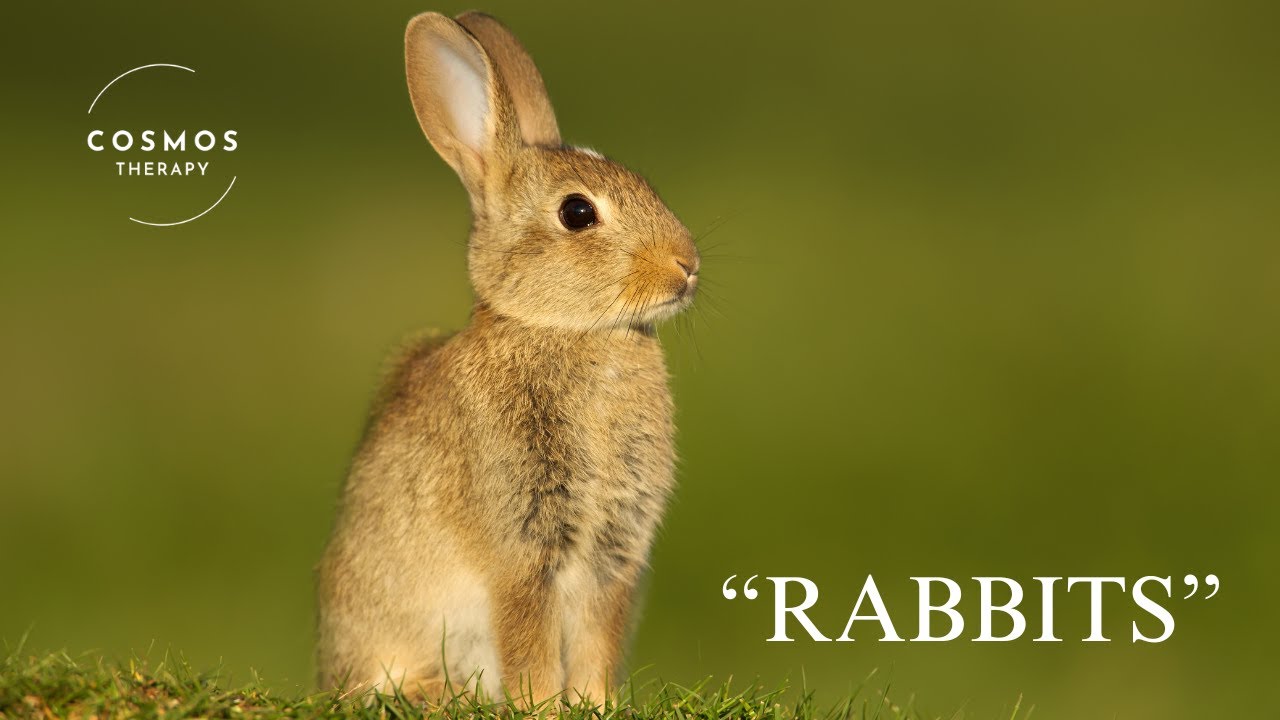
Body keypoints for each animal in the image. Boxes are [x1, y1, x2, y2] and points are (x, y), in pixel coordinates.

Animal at [315, 9, 700, 707]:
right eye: (577, 212)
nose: (687, 266)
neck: (570, 331)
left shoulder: (613, 554)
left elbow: (597, 637)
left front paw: (594, 705)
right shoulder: (521, 543)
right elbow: (528, 634)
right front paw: (541, 706)